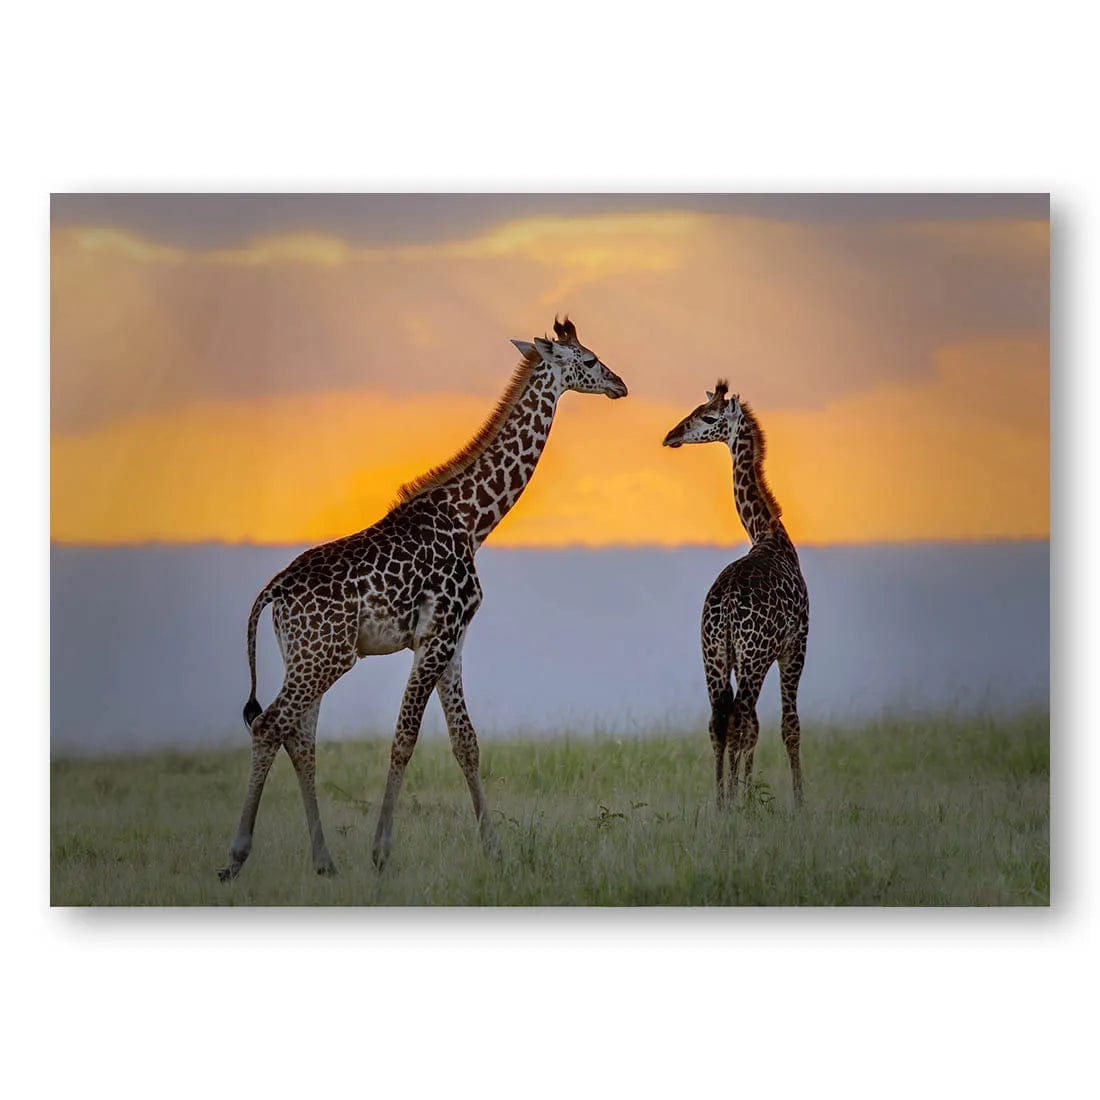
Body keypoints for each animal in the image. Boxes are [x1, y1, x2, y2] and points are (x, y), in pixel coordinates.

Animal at [218, 317, 627, 880]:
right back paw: (236, 856)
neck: (473, 521)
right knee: (269, 724)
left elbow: (466, 741)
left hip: (302, 656)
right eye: (587, 361)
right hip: (328, 656)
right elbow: (405, 737)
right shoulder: (439, 633)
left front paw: (494, 849)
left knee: (299, 738)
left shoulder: (451, 639)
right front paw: (381, 850)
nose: (620, 384)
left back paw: (324, 860)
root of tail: (273, 592)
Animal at [662, 380, 808, 809]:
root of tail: (725, 607)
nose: (671, 435)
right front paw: (798, 802)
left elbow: (749, 726)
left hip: (712, 653)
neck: (768, 532)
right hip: (753, 656)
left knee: (720, 721)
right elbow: (788, 725)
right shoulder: (796, 644)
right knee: (744, 719)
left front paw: (742, 794)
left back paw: (721, 803)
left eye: (709, 416)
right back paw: (735, 802)